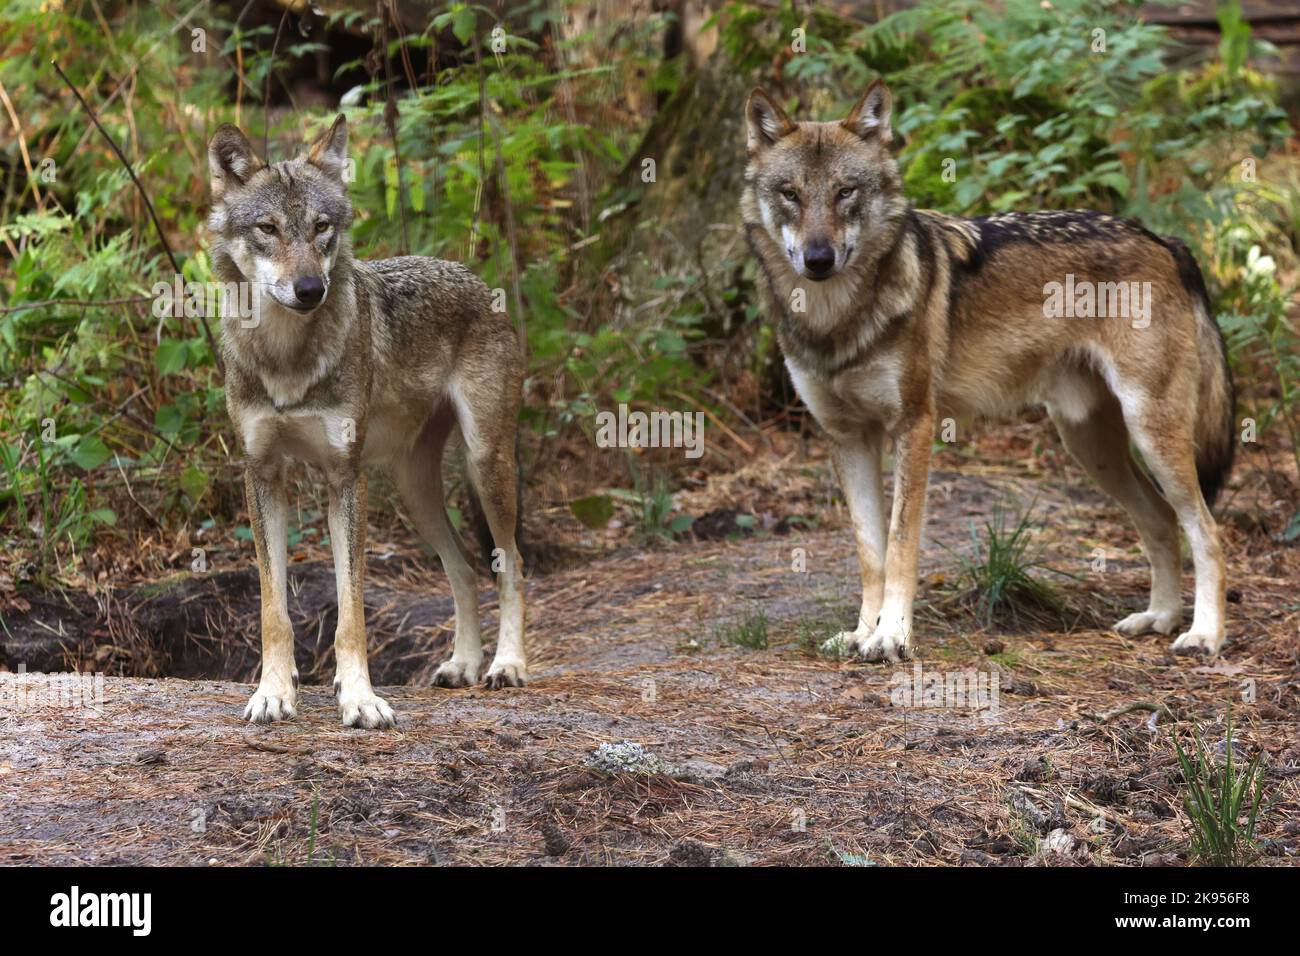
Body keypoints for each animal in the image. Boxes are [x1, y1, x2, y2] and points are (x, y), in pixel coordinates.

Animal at [208, 115, 528, 728]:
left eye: (321, 227)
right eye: (268, 228)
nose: (311, 289)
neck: (287, 358)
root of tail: (475, 278)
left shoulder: (342, 478)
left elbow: (351, 611)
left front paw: (359, 698)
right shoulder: (263, 475)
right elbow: (273, 609)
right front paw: (273, 693)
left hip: (485, 465)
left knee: (510, 562)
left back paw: (507, 665)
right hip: (414, 492)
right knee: (464, 569)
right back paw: (463, 664)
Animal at [741, 81, 1235, 661]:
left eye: (845, 192)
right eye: (790, 194)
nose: (818, 259)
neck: (834, 319)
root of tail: (1166, 241)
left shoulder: (914, 425)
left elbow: (900, 544)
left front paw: (892, 636)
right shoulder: (846, 437)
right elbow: (869, 552)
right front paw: (862, 633)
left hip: (1150, 433)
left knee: (1206, 530)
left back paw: (1204, 634)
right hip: (1089, 446)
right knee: (1160, 520)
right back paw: (1158, 616)